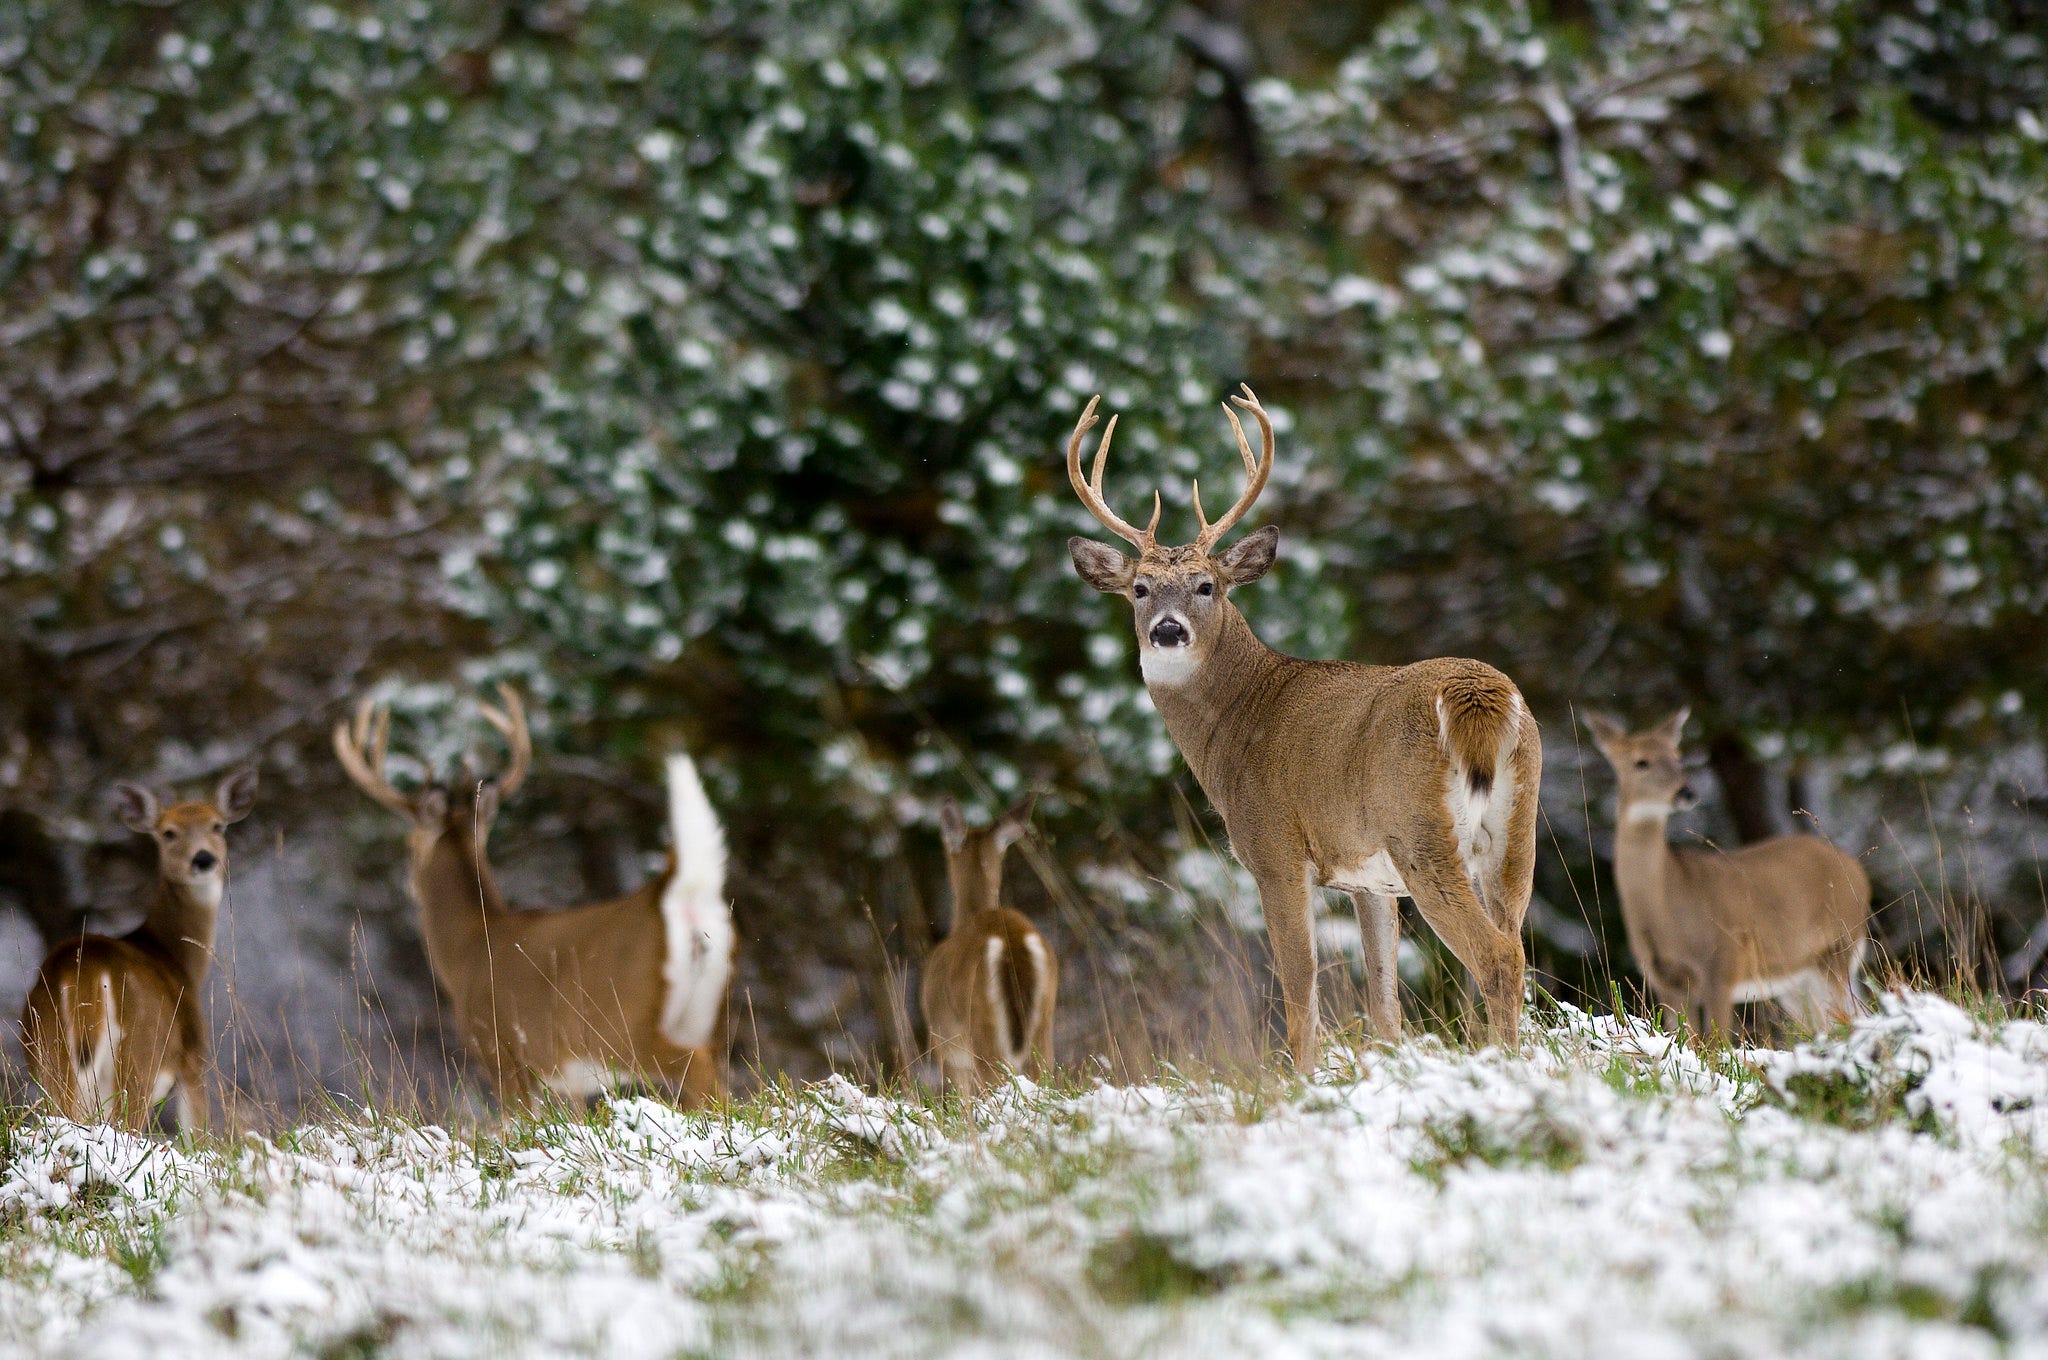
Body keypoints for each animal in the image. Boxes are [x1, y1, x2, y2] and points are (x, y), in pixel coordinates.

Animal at [20, 768, 259, 1133]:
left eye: (217, 825)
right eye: (169, 832)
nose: (204, 859)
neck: (173, 956)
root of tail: (87, 969)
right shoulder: (193, 1059)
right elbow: (197, 1133)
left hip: (50, 1056)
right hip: (140, 1054)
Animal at [334, 685, 733, 1111]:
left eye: (409, 845)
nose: (408, 881)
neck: (467, 949)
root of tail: (671, 892)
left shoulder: (501, 1053)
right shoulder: (568, 1083)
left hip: (620, 1023)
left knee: (698, 1068)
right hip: (705, 1013)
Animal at [1064, 386, 1541, 1069]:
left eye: (1207, 585)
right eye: (1140, 588)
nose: (1168, 631)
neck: (1238, 720)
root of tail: (1480, 696)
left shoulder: (1276, 851)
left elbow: (1300, 984)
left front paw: (1301, 1077)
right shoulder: (1369, 880)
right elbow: (1383, 1001)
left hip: (1421, 833)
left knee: (1496, 956)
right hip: (1514, 833)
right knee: (1516, 945)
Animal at [1584, 708, 1871, 1036]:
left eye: (1677, 756)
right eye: (1641, 761)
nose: (1686, 791)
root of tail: (1857, 870)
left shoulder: (1721, 966)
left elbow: (1716, 1041)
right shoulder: (1663, 980)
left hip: (1838, 946)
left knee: (1848, 1015)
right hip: (1796, 976)